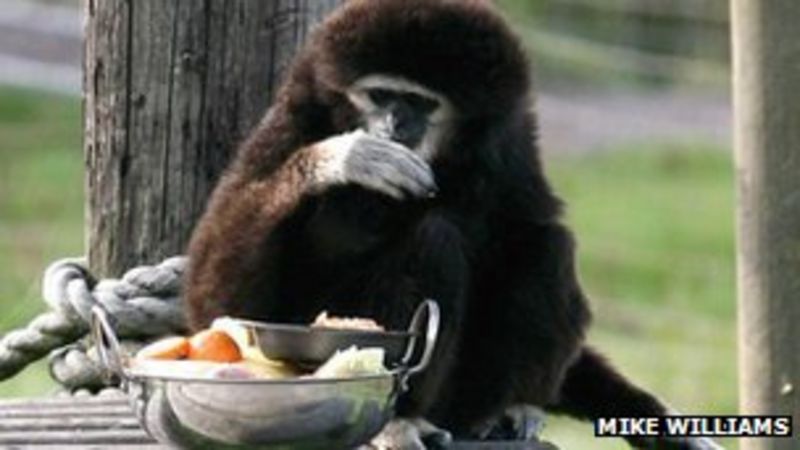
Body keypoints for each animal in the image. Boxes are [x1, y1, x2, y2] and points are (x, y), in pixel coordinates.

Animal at [183, 1, 724, 449]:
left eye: (423, 102)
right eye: (380, 95)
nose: (397, 124)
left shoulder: (511, 139)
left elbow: (534, 225)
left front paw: (650, 415)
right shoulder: (295, 114)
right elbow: (222, 303)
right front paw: (344, 158)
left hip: (465, 395)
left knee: (546, 243)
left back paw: (509, 408)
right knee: (436, 237)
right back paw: (400, 419)